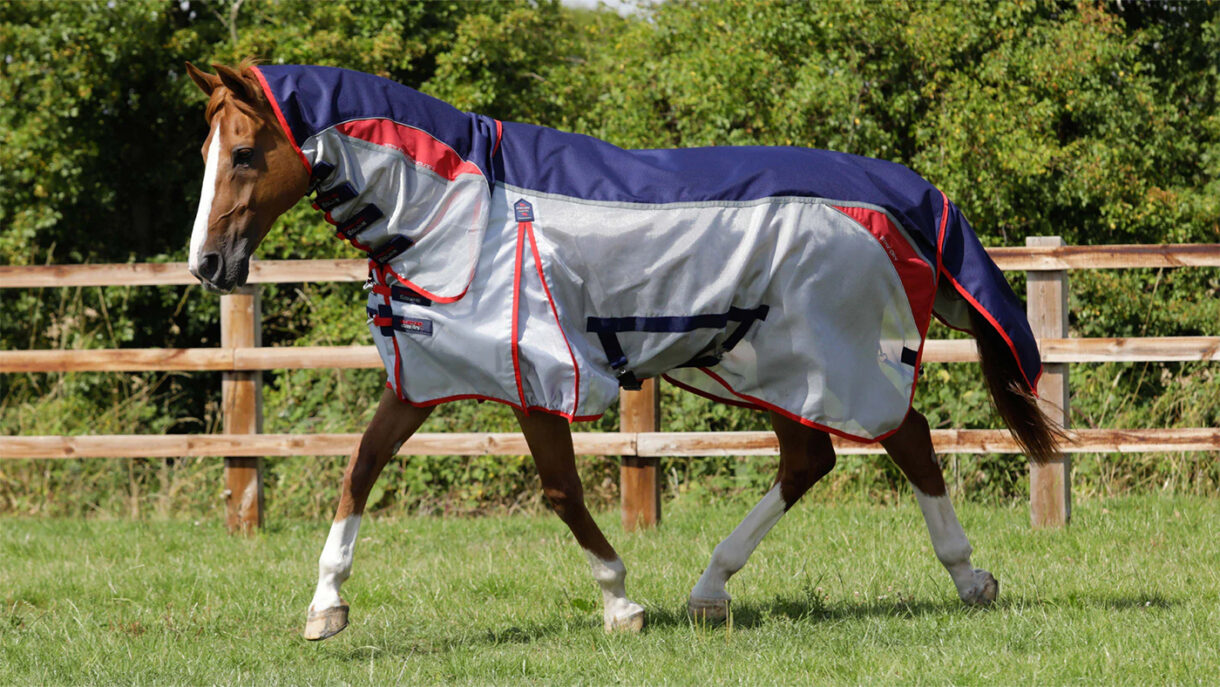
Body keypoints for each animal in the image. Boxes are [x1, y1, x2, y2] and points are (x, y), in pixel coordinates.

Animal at [184, 61, 1061, 641]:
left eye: (245, 154)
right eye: (206, 153)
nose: (207, 265)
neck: (463, 211)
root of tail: (913, 196)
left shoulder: (537, 378)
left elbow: (562, 491)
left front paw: (620, 601)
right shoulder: (424, 378)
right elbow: (359, 470)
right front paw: (325, 605)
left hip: (824, 357)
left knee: (906, 436)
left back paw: (968, 575)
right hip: (757, 361)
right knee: (810, 457)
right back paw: (711, 588)